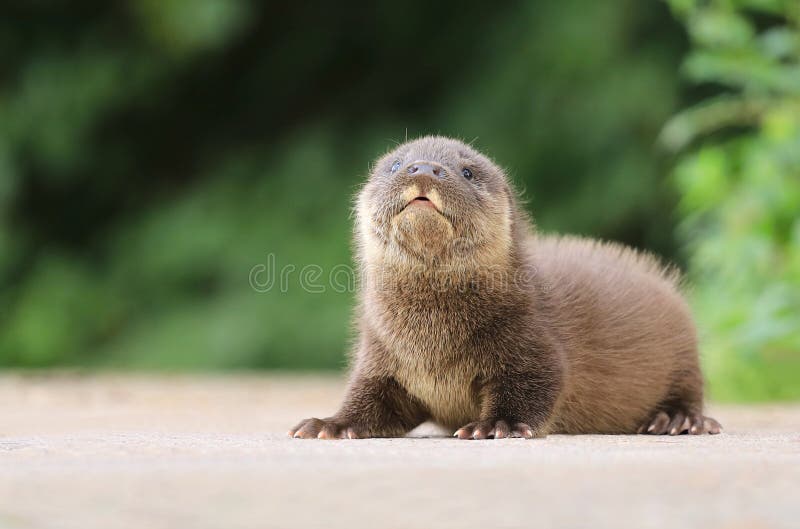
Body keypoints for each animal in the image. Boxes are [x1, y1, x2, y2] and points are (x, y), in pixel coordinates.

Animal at [289, 136, 721, 440]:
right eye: (395, 164)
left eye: (467, 172)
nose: (423, 168)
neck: (431, 343)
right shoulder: (379, 355)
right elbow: (367, 401)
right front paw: (328, 423)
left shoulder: (532, 341)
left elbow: (536, 385)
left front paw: (496, 425)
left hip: (684, 352)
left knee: (690, 390)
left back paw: (677, 419)